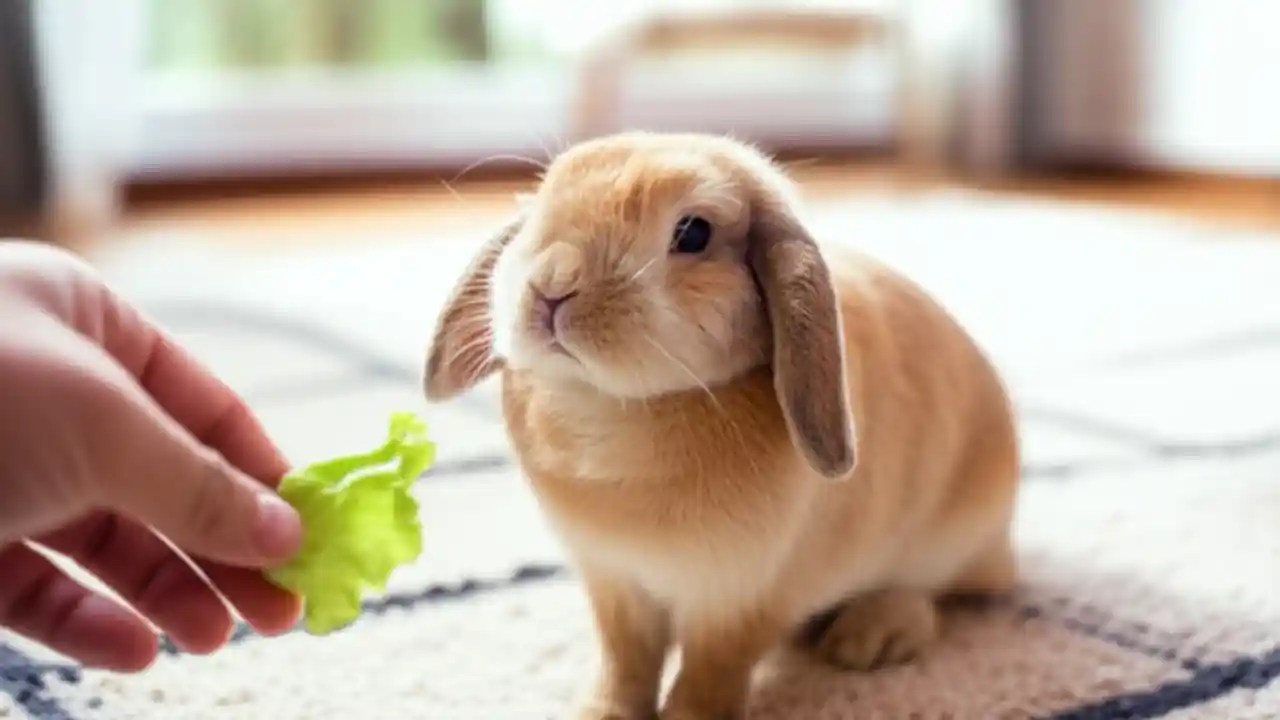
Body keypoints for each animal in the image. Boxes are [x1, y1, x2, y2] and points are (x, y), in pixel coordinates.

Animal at [423, 132, 1020, 720]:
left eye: (693, 233)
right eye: (544, 199)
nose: (551, 285)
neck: (615, 407)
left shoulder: (743, 600)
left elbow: (710, 671)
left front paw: (686, 718)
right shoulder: (615, 584)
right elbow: (625, 661)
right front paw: (602, 713)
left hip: (945, 538)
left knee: (931, 593)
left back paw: (871, 639)